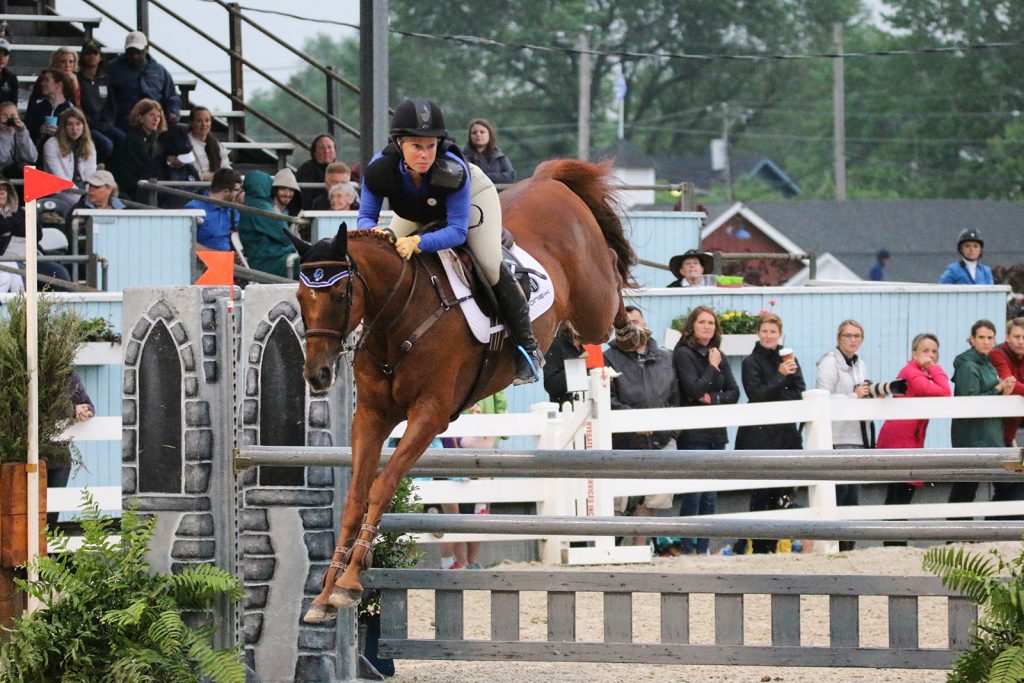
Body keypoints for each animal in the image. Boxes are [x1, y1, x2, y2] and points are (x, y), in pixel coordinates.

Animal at [290, 159, 639, 624]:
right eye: (300, 297)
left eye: (341, 295)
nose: (318, 375)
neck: (398, 314)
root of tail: (547, 181)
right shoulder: (371, 417)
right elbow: (355, 498)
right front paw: (325, 595)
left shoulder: (430, 414)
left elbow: (383, 487)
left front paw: (349, 582)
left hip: (592, 304)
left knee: (612, 280)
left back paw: (632, 332)